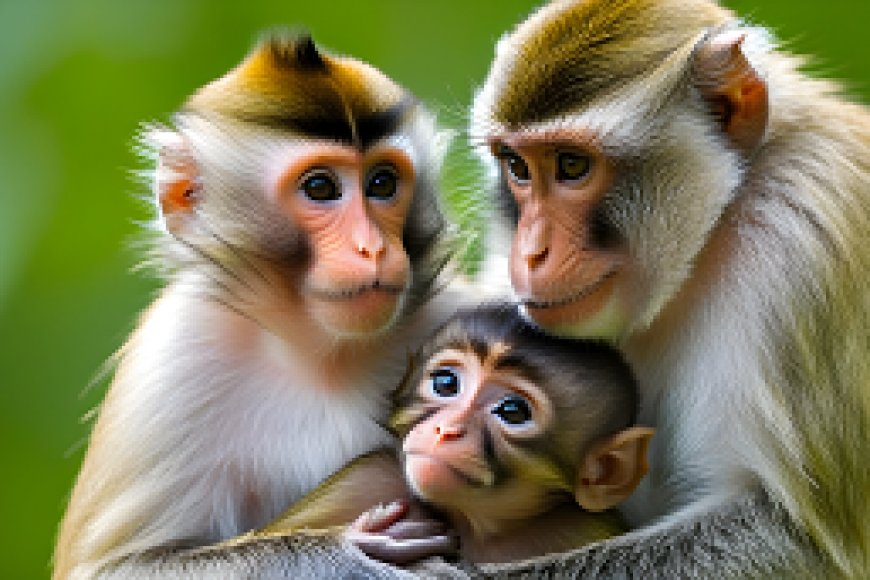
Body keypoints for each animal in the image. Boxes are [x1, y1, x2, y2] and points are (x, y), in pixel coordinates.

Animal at [52, 33, 474, 580]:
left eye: (382, 183)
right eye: (320, 187)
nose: (373, 248)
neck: (323, 355)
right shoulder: (173, 361)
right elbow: (115, 568)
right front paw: (351, 553)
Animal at [259, 303, 654, 566]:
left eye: (513, 411)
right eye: (446, 383)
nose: (446, 430)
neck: (475, 525)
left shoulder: (585, 528)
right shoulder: (368, 478)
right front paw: (368, 541)